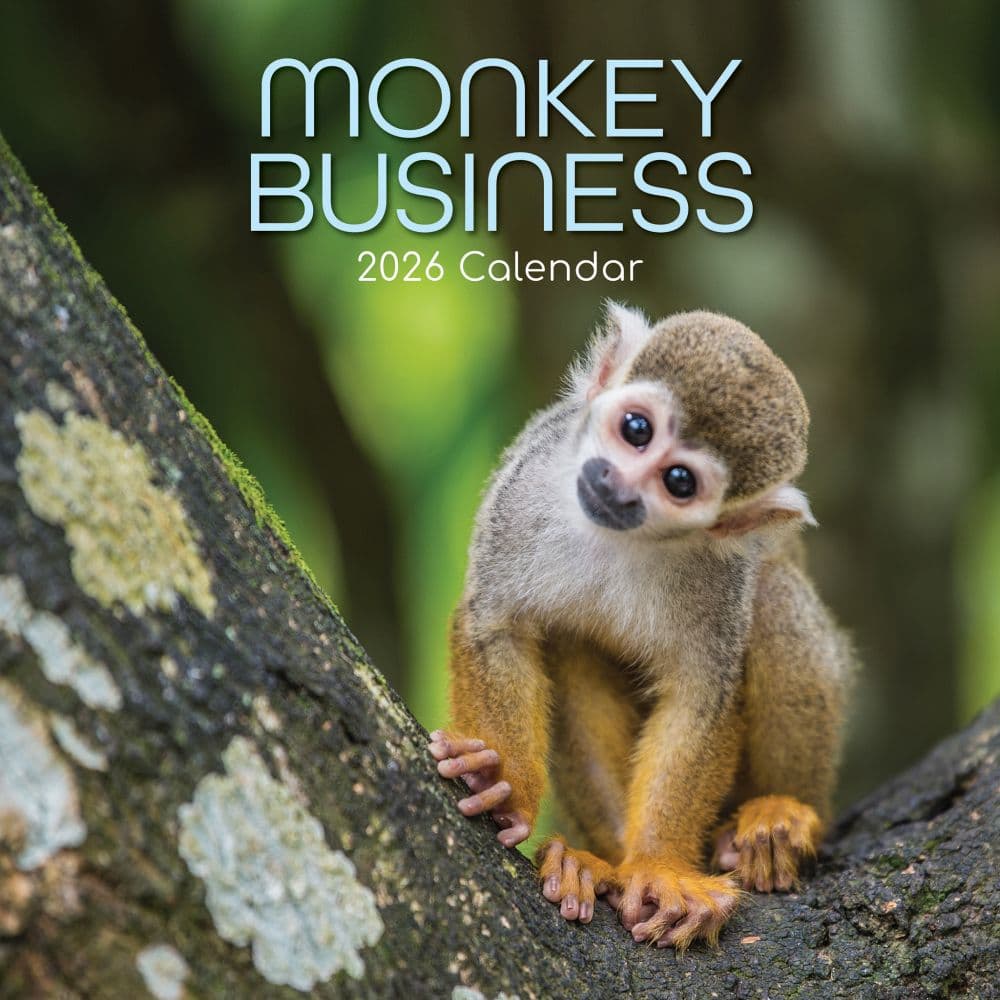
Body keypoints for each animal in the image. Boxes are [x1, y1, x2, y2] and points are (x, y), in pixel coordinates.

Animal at [428, 304, 852, 949]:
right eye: (635, 429)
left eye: (679, 482)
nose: (616, 484)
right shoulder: (528, 478)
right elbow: (498, 624)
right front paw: (501, 783)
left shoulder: (719, 572)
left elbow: (700, 696)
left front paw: (658, 867)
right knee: (571, 643)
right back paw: (595, 864)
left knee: (774, 594)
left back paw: (783, 818)